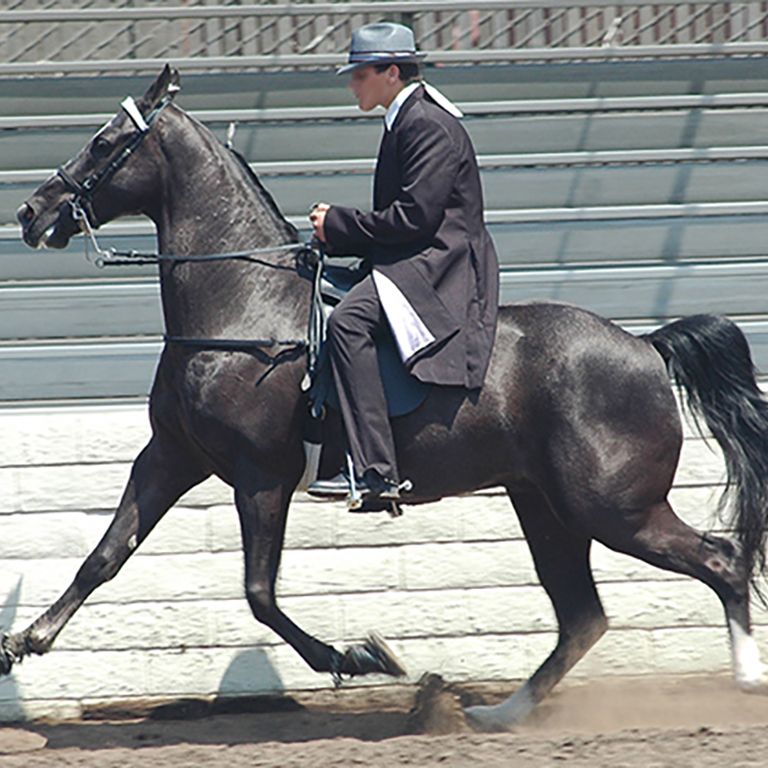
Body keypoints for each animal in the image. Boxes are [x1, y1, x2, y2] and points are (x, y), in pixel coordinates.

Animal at [6, 67, 768, 732]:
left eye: (104, 142)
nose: (30, 212)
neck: (244, 307)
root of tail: (645, 346)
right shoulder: (170, 456)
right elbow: (106, 556)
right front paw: (25, 641)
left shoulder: (259, 477)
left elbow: (259, 595)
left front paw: (361, 657)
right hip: (548, 507)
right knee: (582, 616)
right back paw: (494, 715)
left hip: (612, 508)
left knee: (720, 561)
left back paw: (745, 678)